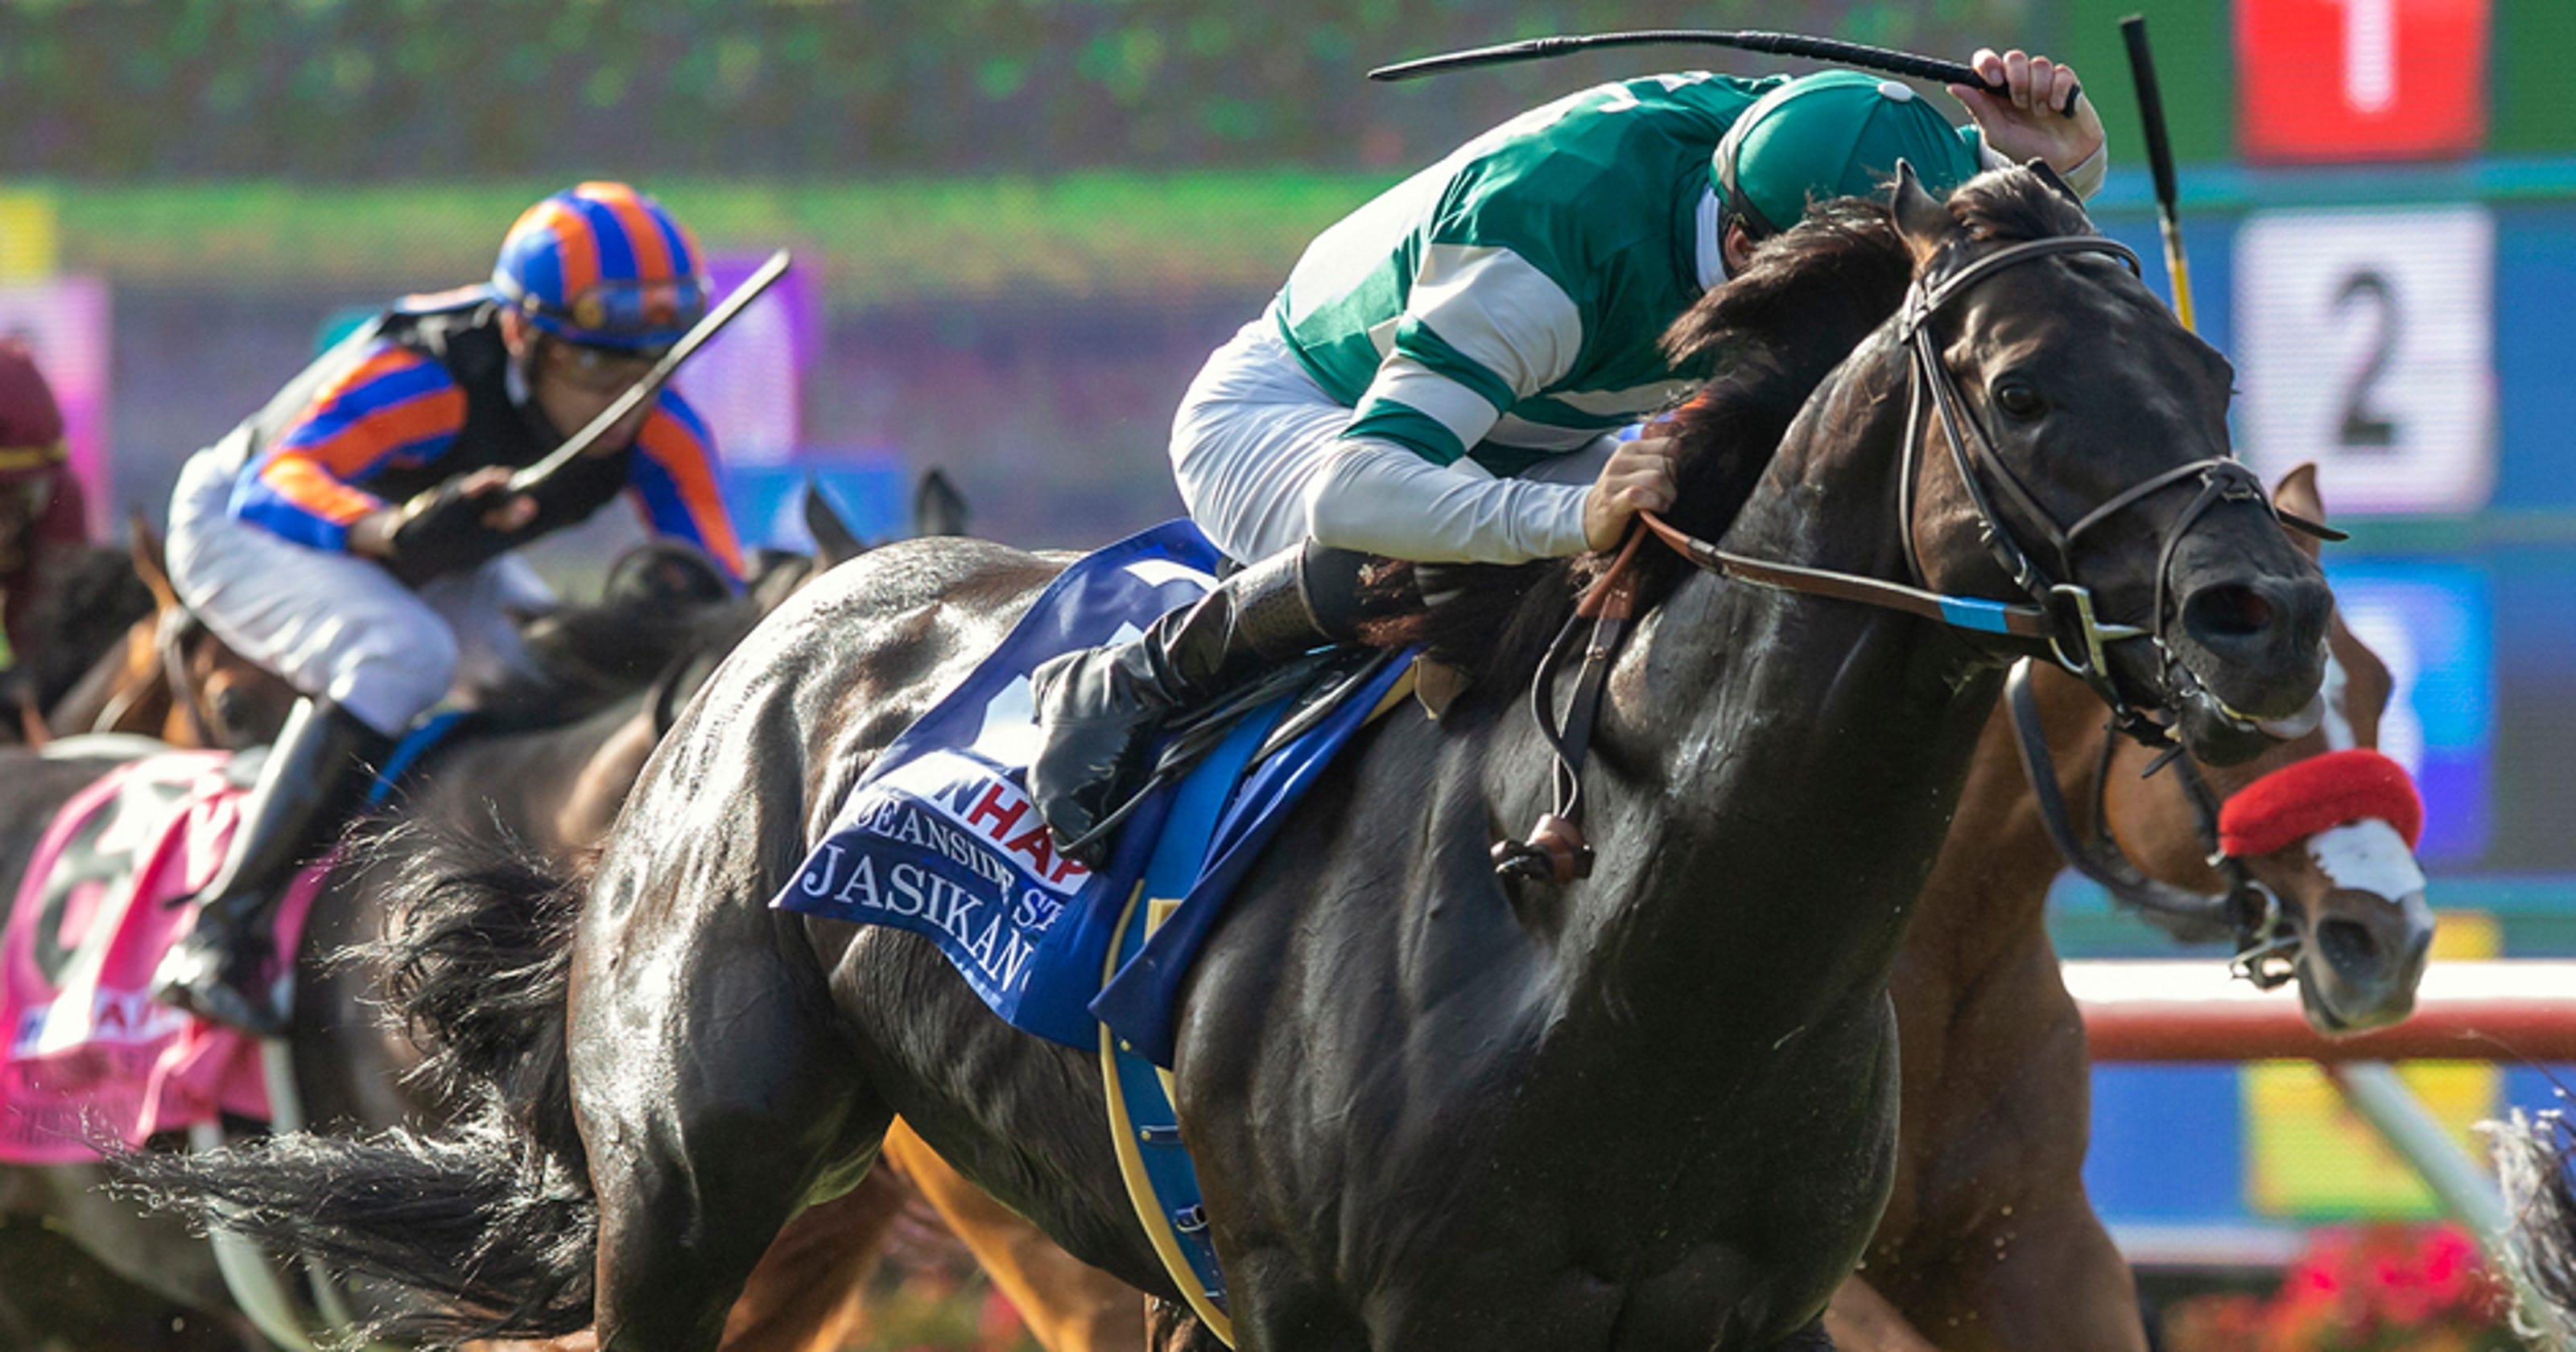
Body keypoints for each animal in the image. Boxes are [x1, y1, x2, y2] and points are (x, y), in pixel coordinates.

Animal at [124, 163, 2336, 1351]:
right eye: (2027, 390)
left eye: (2212, 365)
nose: (2264, 616)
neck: (1636, 933)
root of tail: (768, 641)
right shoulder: (1359, 1309)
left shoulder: (1769, 1301)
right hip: (697, 1179)